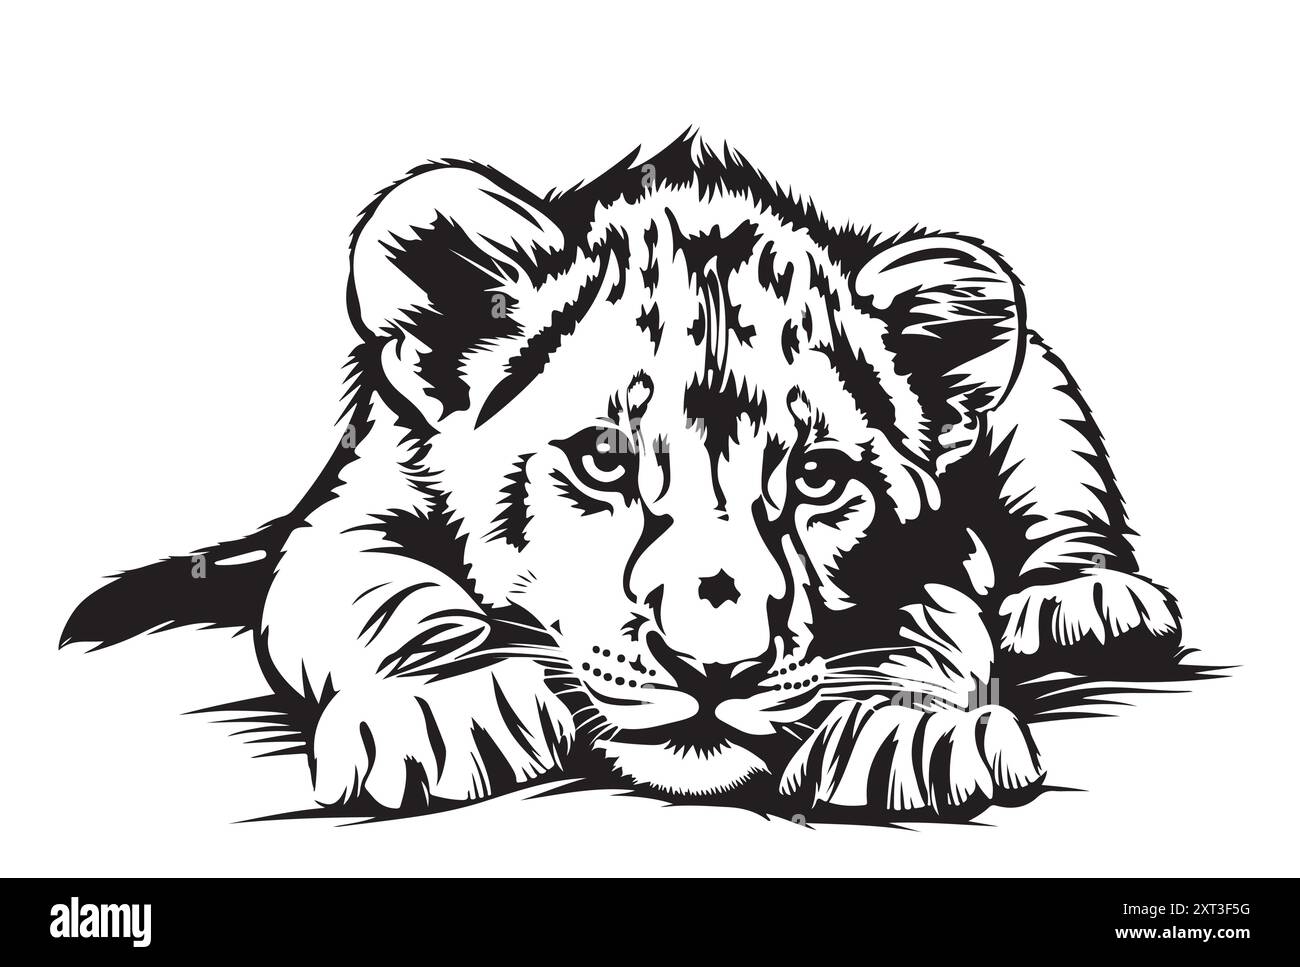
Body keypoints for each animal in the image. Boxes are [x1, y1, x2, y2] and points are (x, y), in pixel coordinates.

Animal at [62, 133, 1182, 820]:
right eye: (604, 460)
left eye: (819, 479)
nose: (715, 668)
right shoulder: (356, 508)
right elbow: (387, 599)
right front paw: (444, 706)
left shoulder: (934, 546)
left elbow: (935, 625)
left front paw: (904, 729)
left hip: (1038, 396)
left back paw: (1088, 597)